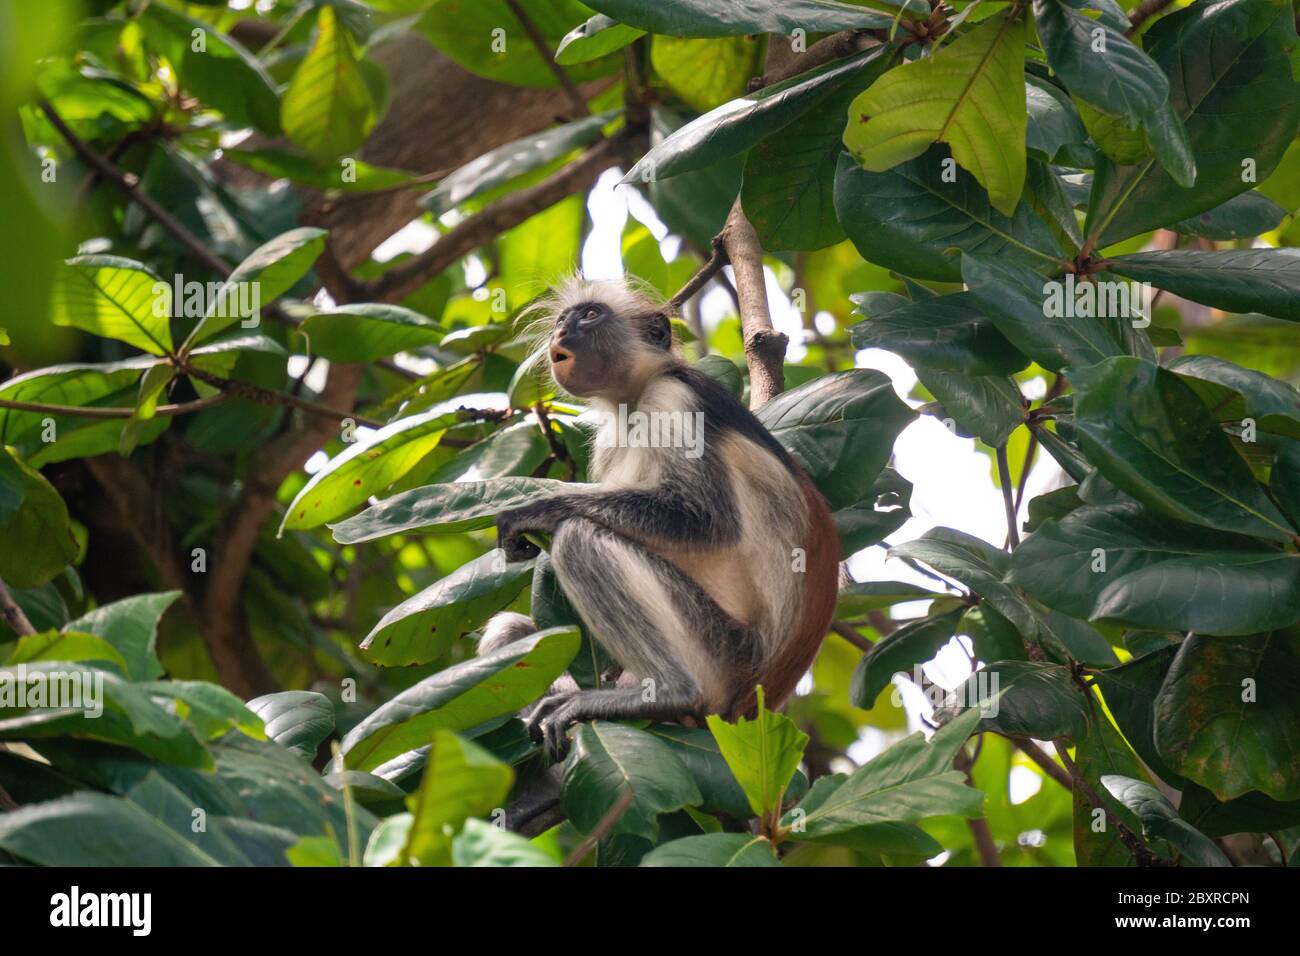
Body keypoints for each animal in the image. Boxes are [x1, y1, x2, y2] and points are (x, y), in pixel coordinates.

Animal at [480, 276, 840, 758]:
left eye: (589, 315)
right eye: (561, 320)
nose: (562, 332)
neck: (632, 402)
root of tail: (752, 703)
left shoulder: (675, 400)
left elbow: (707, 522)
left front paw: (540, 508)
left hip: (723, 653)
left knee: (579, 539)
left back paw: (668, 693)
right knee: (509, 631)